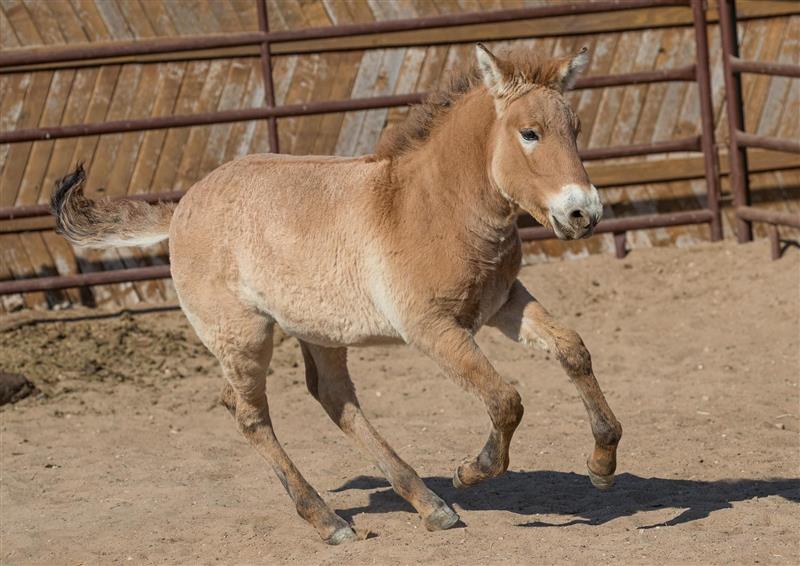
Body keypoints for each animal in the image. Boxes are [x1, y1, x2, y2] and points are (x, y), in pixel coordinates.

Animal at [52, 43, 621, 545]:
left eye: (574, 129)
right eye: (530, 133)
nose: (583, 213)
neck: (434, 207)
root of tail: (182, 208)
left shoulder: (503, 304)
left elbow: (573, 349)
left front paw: (602, 463)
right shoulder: (434, 329)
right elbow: (506, 400)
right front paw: (471, 470)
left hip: (319, 330)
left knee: (333, 399)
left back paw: (430, 506)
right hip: (244, 335)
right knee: (249, 414)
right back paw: (330, 522)